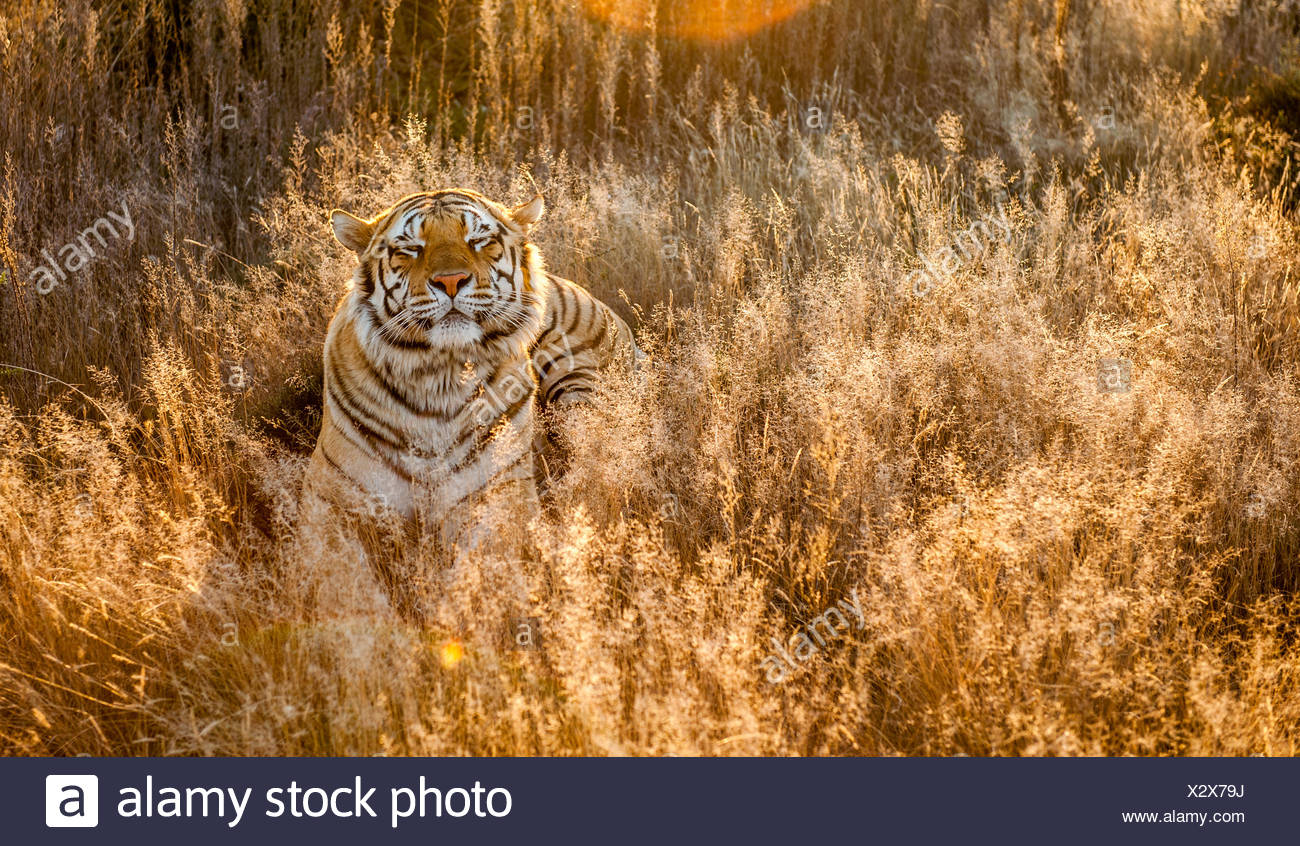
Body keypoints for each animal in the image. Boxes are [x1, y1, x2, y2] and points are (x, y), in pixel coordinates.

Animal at [304, 188, 638, 556]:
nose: (450, 281)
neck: (439, 377)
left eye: (478, 241)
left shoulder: (499, 494)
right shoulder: (332, 500)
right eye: (410, 248)